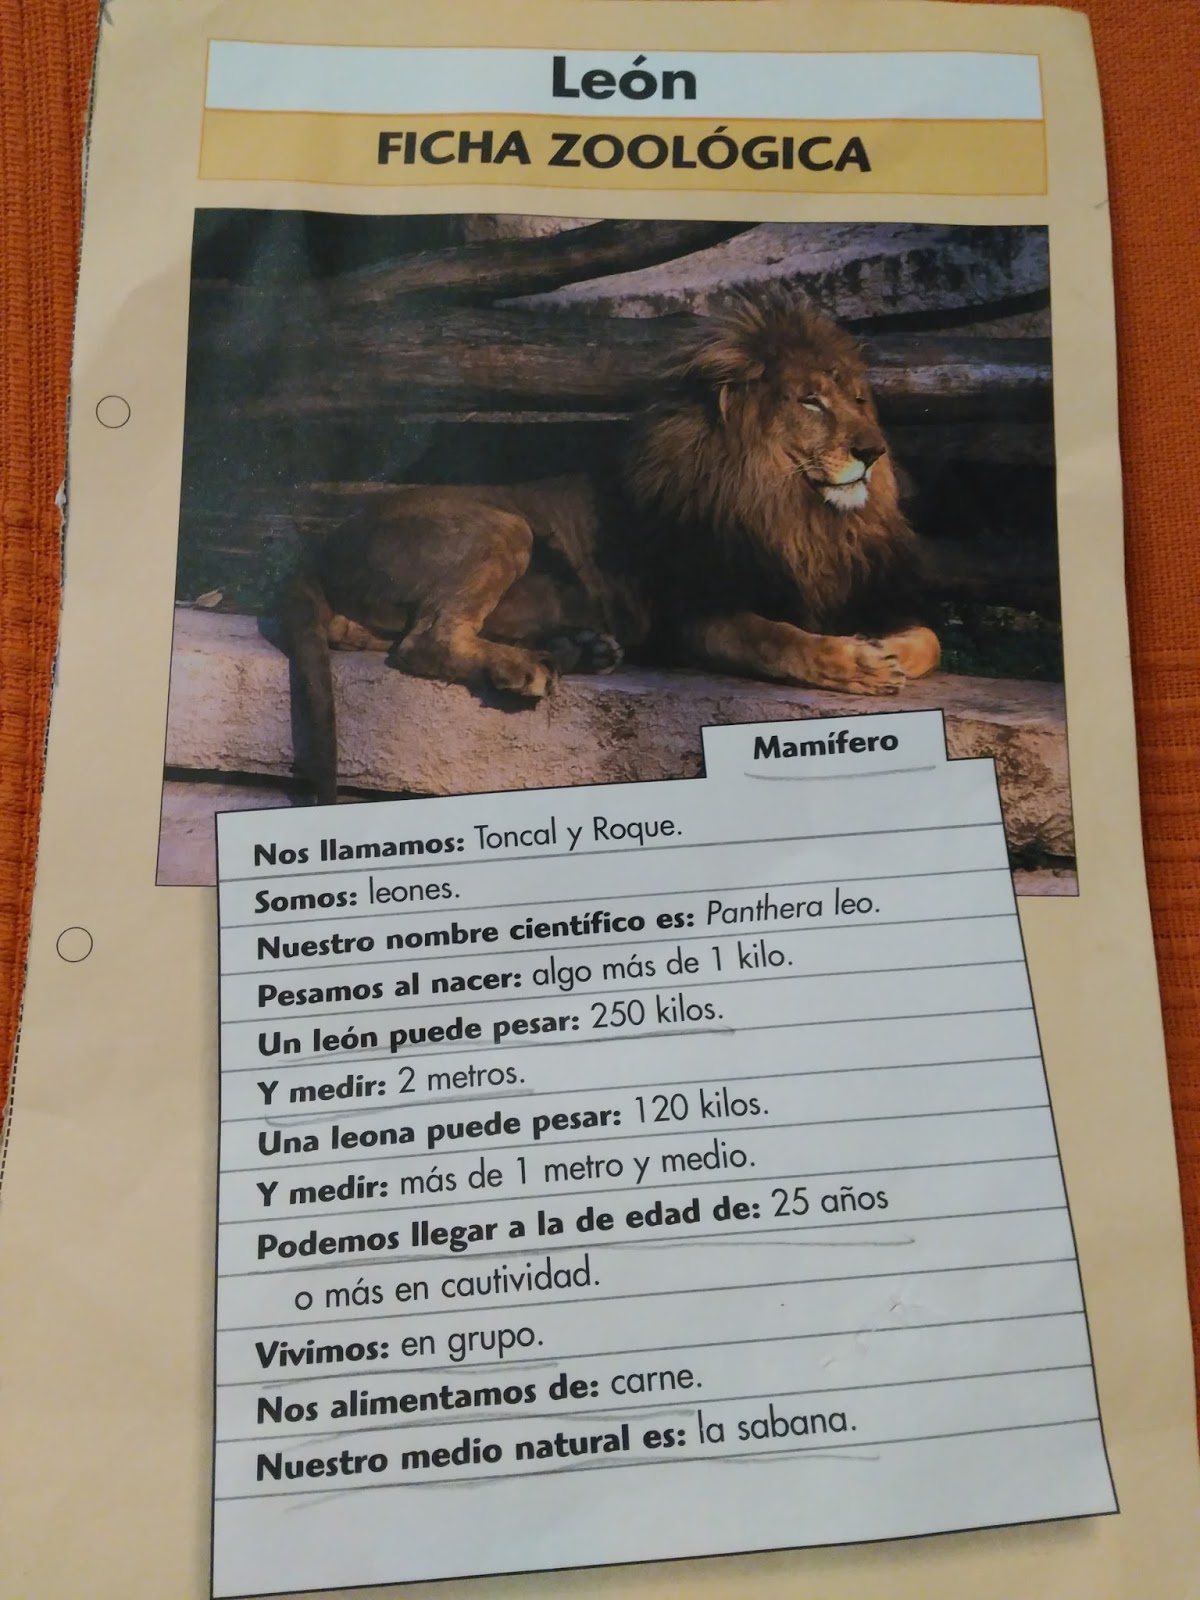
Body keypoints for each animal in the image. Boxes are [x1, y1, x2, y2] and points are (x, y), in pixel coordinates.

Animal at [284, 290, 940, 803]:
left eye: (859, 399)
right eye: (810, 400)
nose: (874, 451)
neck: (794, 513)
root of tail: (318, 548)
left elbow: (929, 638)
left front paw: (886, 648)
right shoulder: (693, 619)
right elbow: (778, 640)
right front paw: (861, 664)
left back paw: (579, 648)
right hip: (504, 525)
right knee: (423, 640)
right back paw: (527, 666)